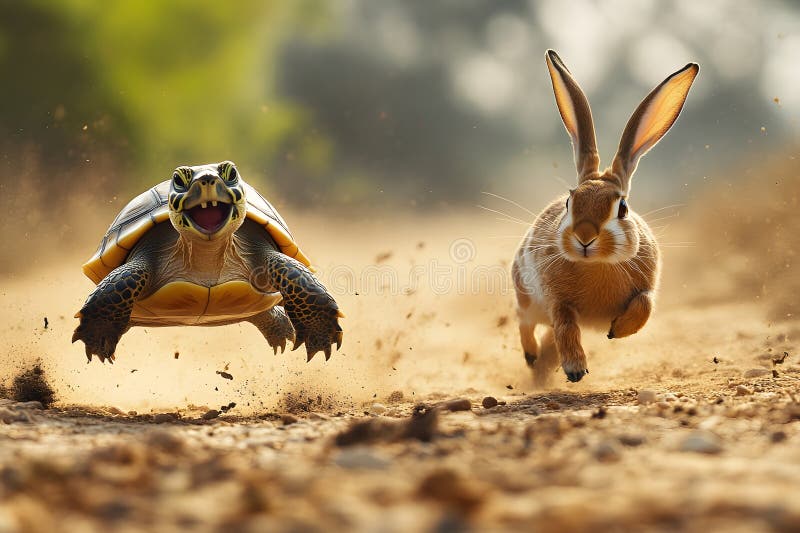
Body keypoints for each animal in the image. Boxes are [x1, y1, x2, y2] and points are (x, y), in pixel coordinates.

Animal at [512, 50, 699, 384]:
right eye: (570, 202)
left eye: (622, 207)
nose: (585, 237)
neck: (597, 265)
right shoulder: (558, 302)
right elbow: (566, 328)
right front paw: (575, 369)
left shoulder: (645, 288)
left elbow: (644, 305)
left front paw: (616, 331)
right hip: (525, 294)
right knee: (526, 323)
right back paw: (533, 357)